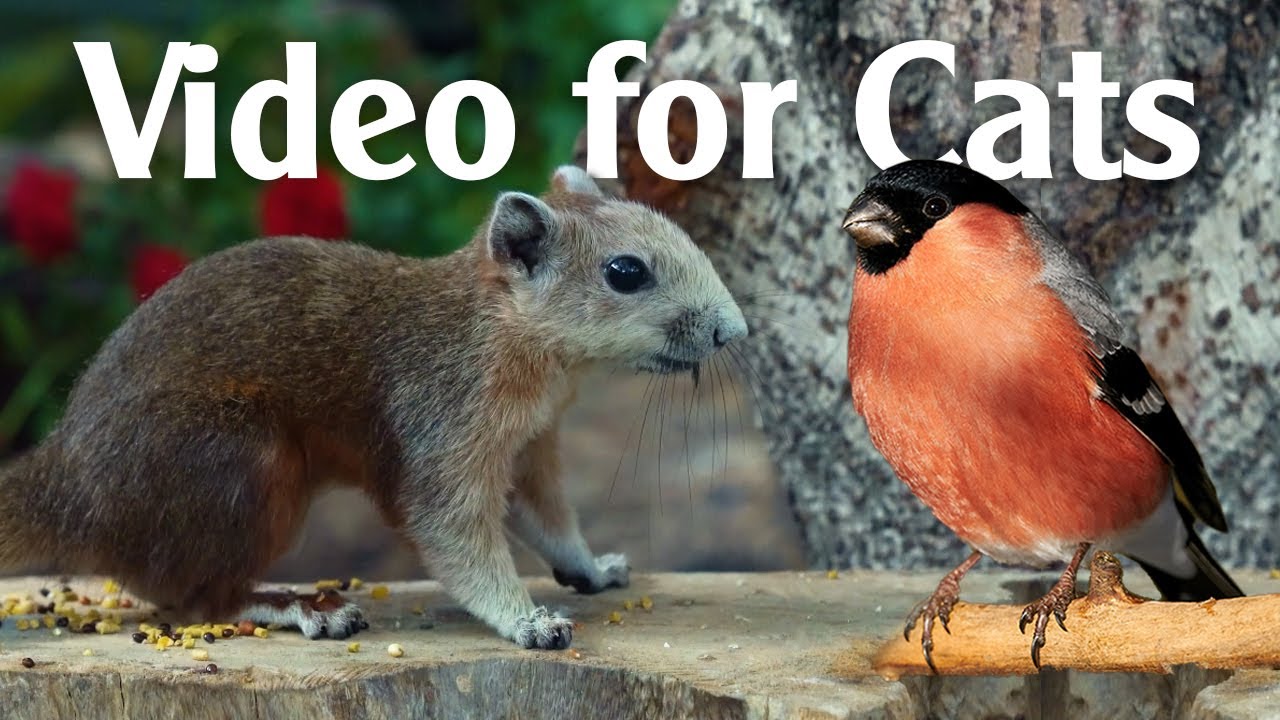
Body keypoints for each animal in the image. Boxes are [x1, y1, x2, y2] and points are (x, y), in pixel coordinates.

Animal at [0, 166, 748, 649]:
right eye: (626, 272)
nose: (732, 330)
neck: (505, 335)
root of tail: (69, 492)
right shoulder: (444, 428)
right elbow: (455, 537)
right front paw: (525, 620)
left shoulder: (530, 446)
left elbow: (550, 521)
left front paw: (589, 569)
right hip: (243, 465)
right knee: (192, 600)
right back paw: (300, 608)